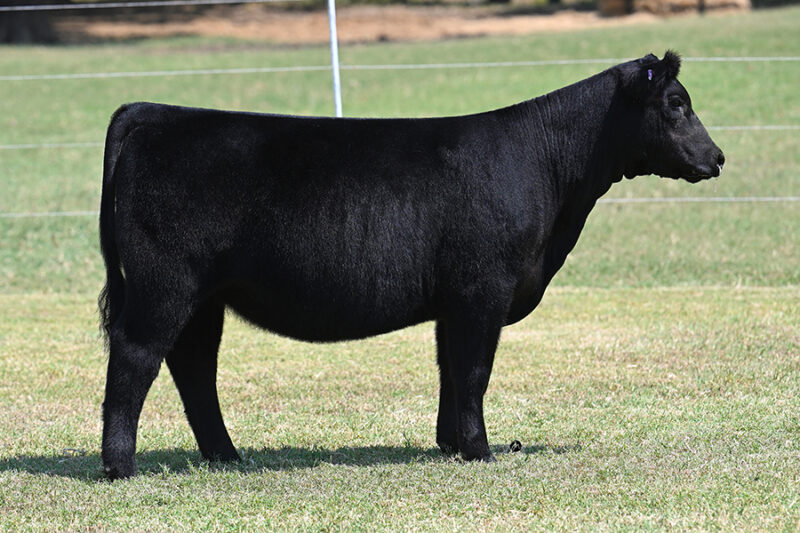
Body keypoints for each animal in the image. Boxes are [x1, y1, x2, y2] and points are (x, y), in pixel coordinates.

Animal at [99, 51, 724, 479]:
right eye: (676, 104)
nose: (717, 157)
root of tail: (153, 111)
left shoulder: (454, 301)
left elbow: (450, 368)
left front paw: (450, 444)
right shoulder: (482, 290)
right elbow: (474, 370)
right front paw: (480, 450)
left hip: (204, 296)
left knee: (193, 366)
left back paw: (227, 456)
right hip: (166, 284)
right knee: (136, 356)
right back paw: (120, 465)